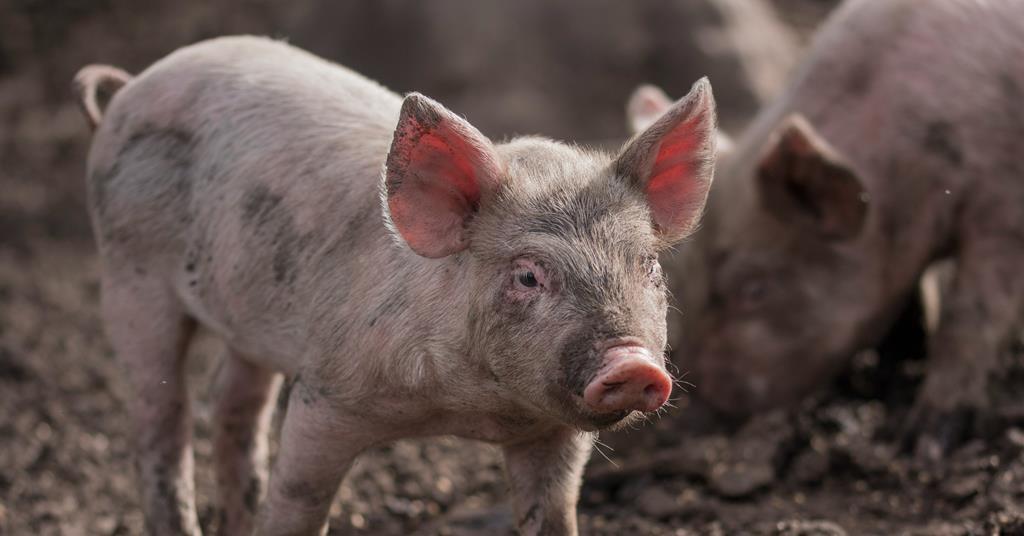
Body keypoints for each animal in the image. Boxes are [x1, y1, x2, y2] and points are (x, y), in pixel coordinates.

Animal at [74, 36, 717, 535]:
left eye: (649, 266)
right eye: (529, 275)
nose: (632, 363)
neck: (472, 410)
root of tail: (131, 87)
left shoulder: (555, 435)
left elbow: (554, 515)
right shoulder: (326, 393)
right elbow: (300, 501)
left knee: (234, 403)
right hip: (128, 272)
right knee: (162, 418)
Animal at [628, 0, 1024, 459]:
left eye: (755, 290)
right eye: (686, 281)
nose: (694, 417)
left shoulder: (1003, 206)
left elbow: (971, 314)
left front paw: (918, 443)